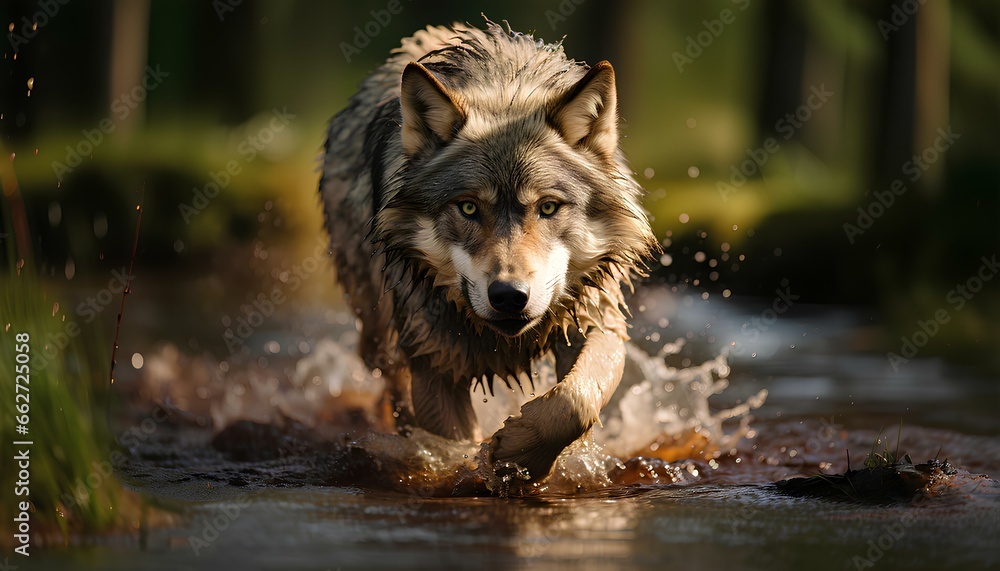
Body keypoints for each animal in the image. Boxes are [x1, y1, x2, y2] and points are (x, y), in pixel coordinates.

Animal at [320, 19, 658, 483]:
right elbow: (450, 447)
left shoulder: (595, 317)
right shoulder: (436, 367)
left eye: (547, 207)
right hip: (382, 331)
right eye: (467, 207)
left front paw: (519, 454)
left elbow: (574, 401)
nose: (509, 296)